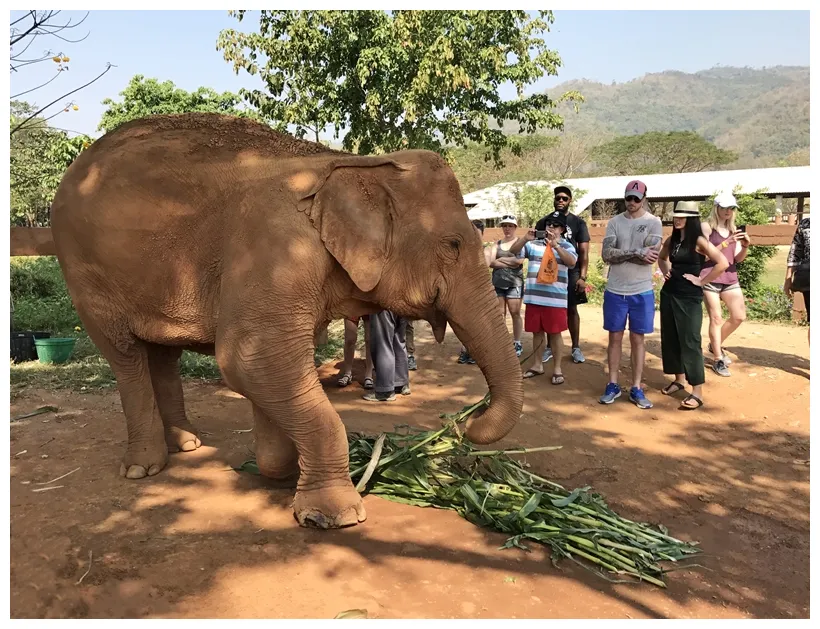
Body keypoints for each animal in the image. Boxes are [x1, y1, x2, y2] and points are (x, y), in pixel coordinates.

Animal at [50, 113, 524, 529]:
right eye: (453, 244)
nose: (465, 424)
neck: (352, 161)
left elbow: (269, 369)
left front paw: (279, 469)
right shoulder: (275, 250)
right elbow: (250, 360)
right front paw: (332, 515)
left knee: (163, 355)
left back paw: (188, 445)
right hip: (84, 274)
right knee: (126, 356)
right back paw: (143, 467)